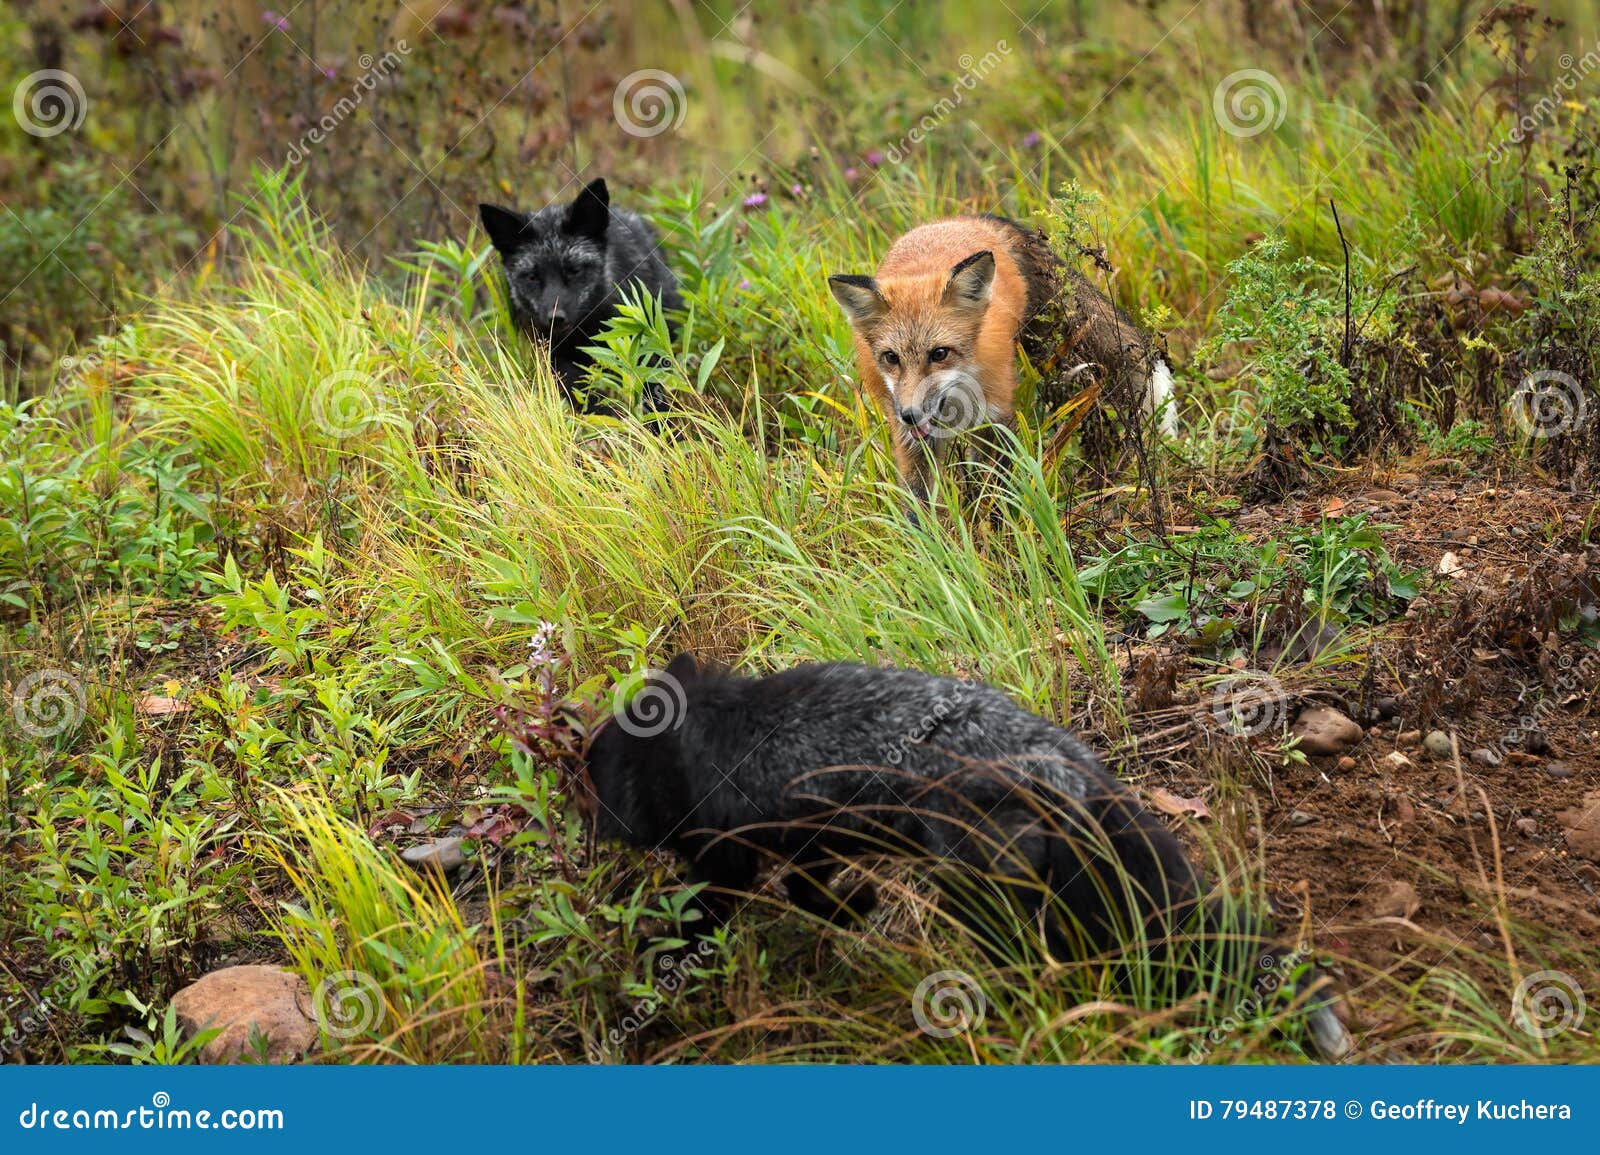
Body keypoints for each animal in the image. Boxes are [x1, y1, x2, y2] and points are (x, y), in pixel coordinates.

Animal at [480, 178, 683, 409]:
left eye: (574, 270)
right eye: (532, 277)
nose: (555, 318)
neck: (586, 332)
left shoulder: (642, 344)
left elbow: (651, 390)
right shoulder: (554, 357)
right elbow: (587, 398)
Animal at [581, 654, 1351, 1059]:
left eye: (596, 779)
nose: (591, 828)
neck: (704, 733)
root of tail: (1060, 760)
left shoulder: (727, 861)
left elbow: (696, 926)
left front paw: (645, 974)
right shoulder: (807, 846)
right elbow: (813, 894)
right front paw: (858, 904)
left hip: (982, 884)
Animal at [828, 214, 1176, 504]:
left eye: (939, 354)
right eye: (891, 357)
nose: (910, 415)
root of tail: (967, 219)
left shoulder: (996, 418)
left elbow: (994, 489)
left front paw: (994, 531)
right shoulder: (911, 441)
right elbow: (919, 507)